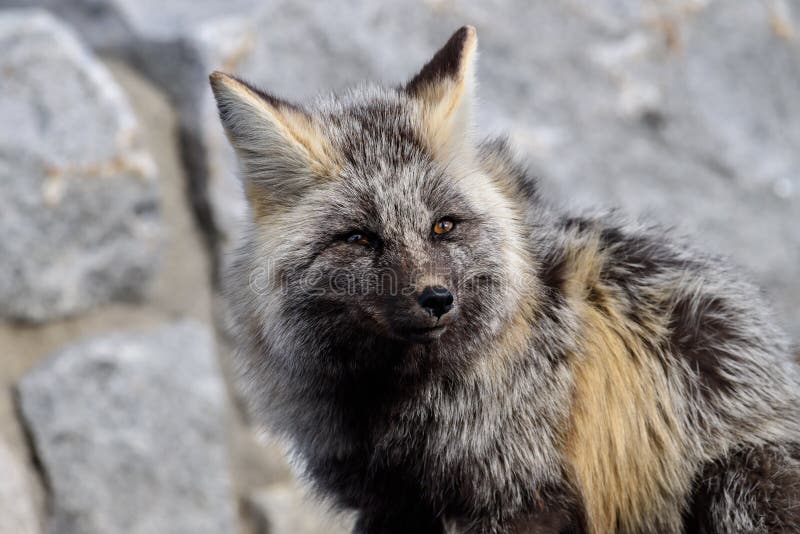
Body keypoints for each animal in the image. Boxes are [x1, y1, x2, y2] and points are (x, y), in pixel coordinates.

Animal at [210, 26, 800, 533]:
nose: (437, 299)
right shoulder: (389, 506)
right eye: (359, 238)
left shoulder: (524, 493)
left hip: (736, 484)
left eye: (443, 225)